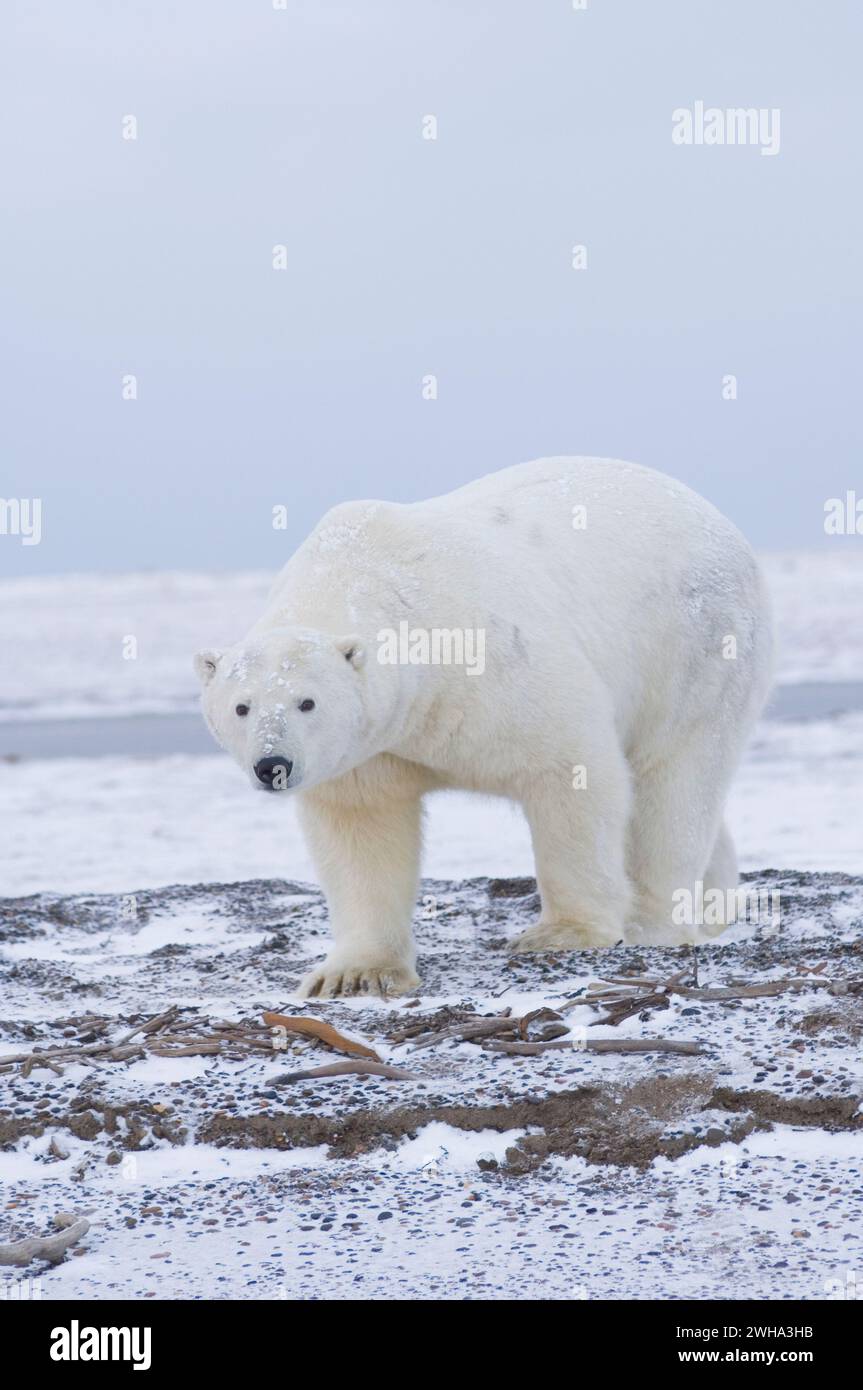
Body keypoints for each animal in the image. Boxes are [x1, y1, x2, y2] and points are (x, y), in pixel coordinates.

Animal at [195, 456, 774, 997]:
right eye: (242, 707)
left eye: (307, 702)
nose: (273, 764)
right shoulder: (370, 749)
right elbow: (362, 828)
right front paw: (356, 973)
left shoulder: (489, 659)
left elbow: (571, 771)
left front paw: (562, 932)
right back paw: (715, 904)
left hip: (696, 646)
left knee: (675, 783)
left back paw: (654, 921)